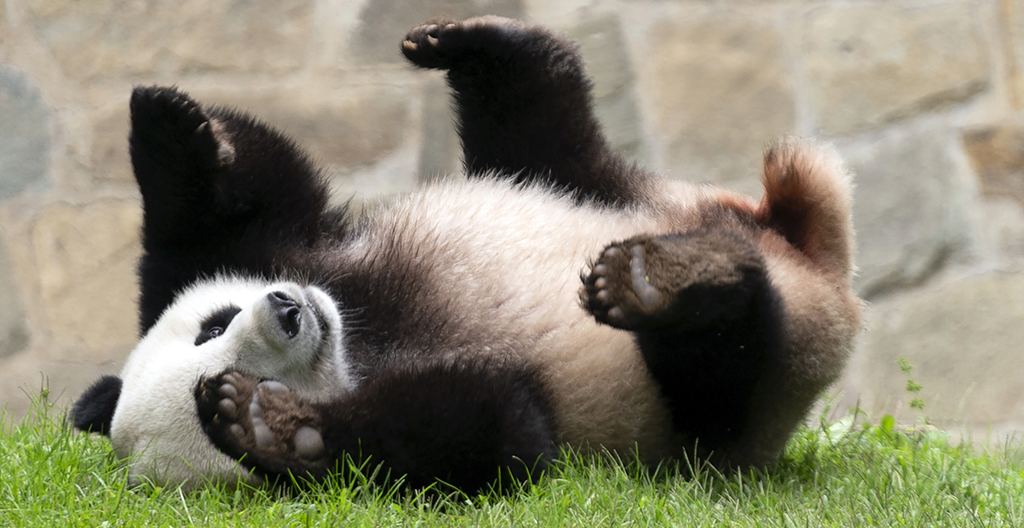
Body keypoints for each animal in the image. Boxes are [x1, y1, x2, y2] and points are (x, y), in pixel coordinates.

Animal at [70, 16, 862, 494]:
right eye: (230, 357)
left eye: (213, 325)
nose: (289, 311)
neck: (361, 337)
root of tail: (814, 261)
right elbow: (496, 435)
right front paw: (271, 426)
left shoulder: (296, 251)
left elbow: (241, 208)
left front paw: (167, 124)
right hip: (728, 409)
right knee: (726, 366)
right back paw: (669, 285)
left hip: (615, 191)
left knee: (546, 133)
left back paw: (478, 47)